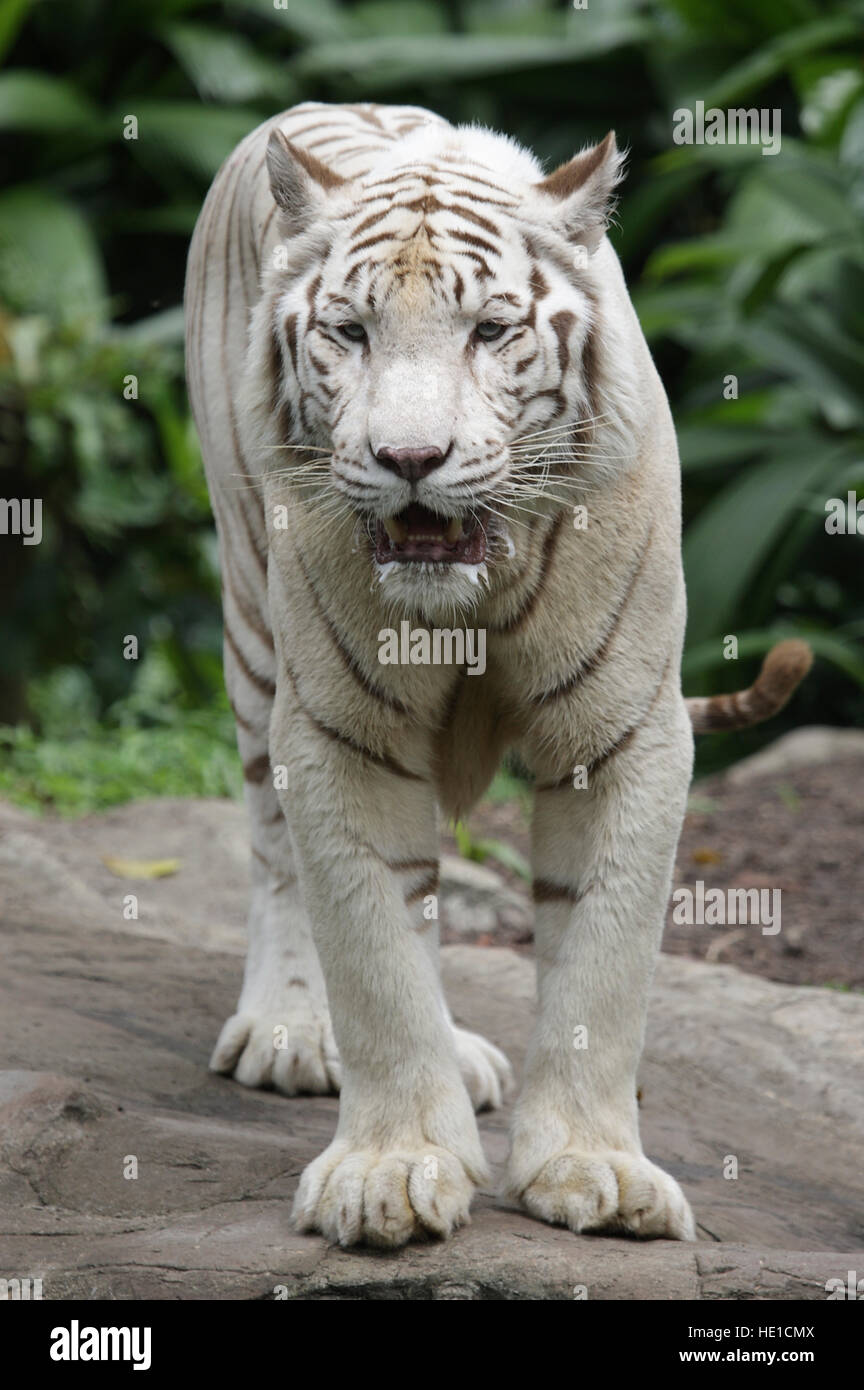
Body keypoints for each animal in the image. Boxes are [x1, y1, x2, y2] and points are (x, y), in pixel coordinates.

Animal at [184, 101, 811, 1249]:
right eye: (351, 332)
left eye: (488, 331)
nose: (410, 458)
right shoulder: (339, 732)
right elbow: (373, 955)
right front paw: (390, 1171)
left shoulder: (627, 731)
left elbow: (601, 965)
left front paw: (595, 1168)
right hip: (252, 620)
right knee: (276, 846)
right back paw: (292, 1030)